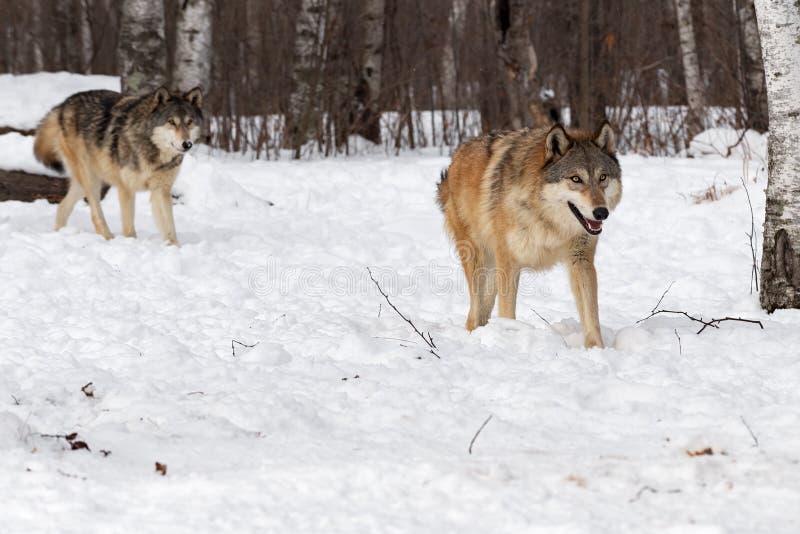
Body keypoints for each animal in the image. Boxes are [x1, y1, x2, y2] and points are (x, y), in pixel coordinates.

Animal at [33, 86, 203, 246]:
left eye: (189, 122)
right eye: (171, 122)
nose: (187, 144)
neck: (152, 150)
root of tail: (64, 104)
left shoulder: (161, 191)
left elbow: (170, 230)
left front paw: (175, 248)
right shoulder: (126, 188)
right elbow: (129, 228)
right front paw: (130, 244)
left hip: (89, 183)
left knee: (62, 207)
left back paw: (60, 233)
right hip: (91, 181)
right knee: (95, 215)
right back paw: (107, 238)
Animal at [437, 122, 622, 348]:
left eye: (602, 177)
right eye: (576, 179)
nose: (601, 212)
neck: (546, 218)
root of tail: (457, 155)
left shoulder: (581, 260)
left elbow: (591, 315)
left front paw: (597, 350)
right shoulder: (509, 262)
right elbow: (507, 312)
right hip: (478, 260)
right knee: (475, 311)